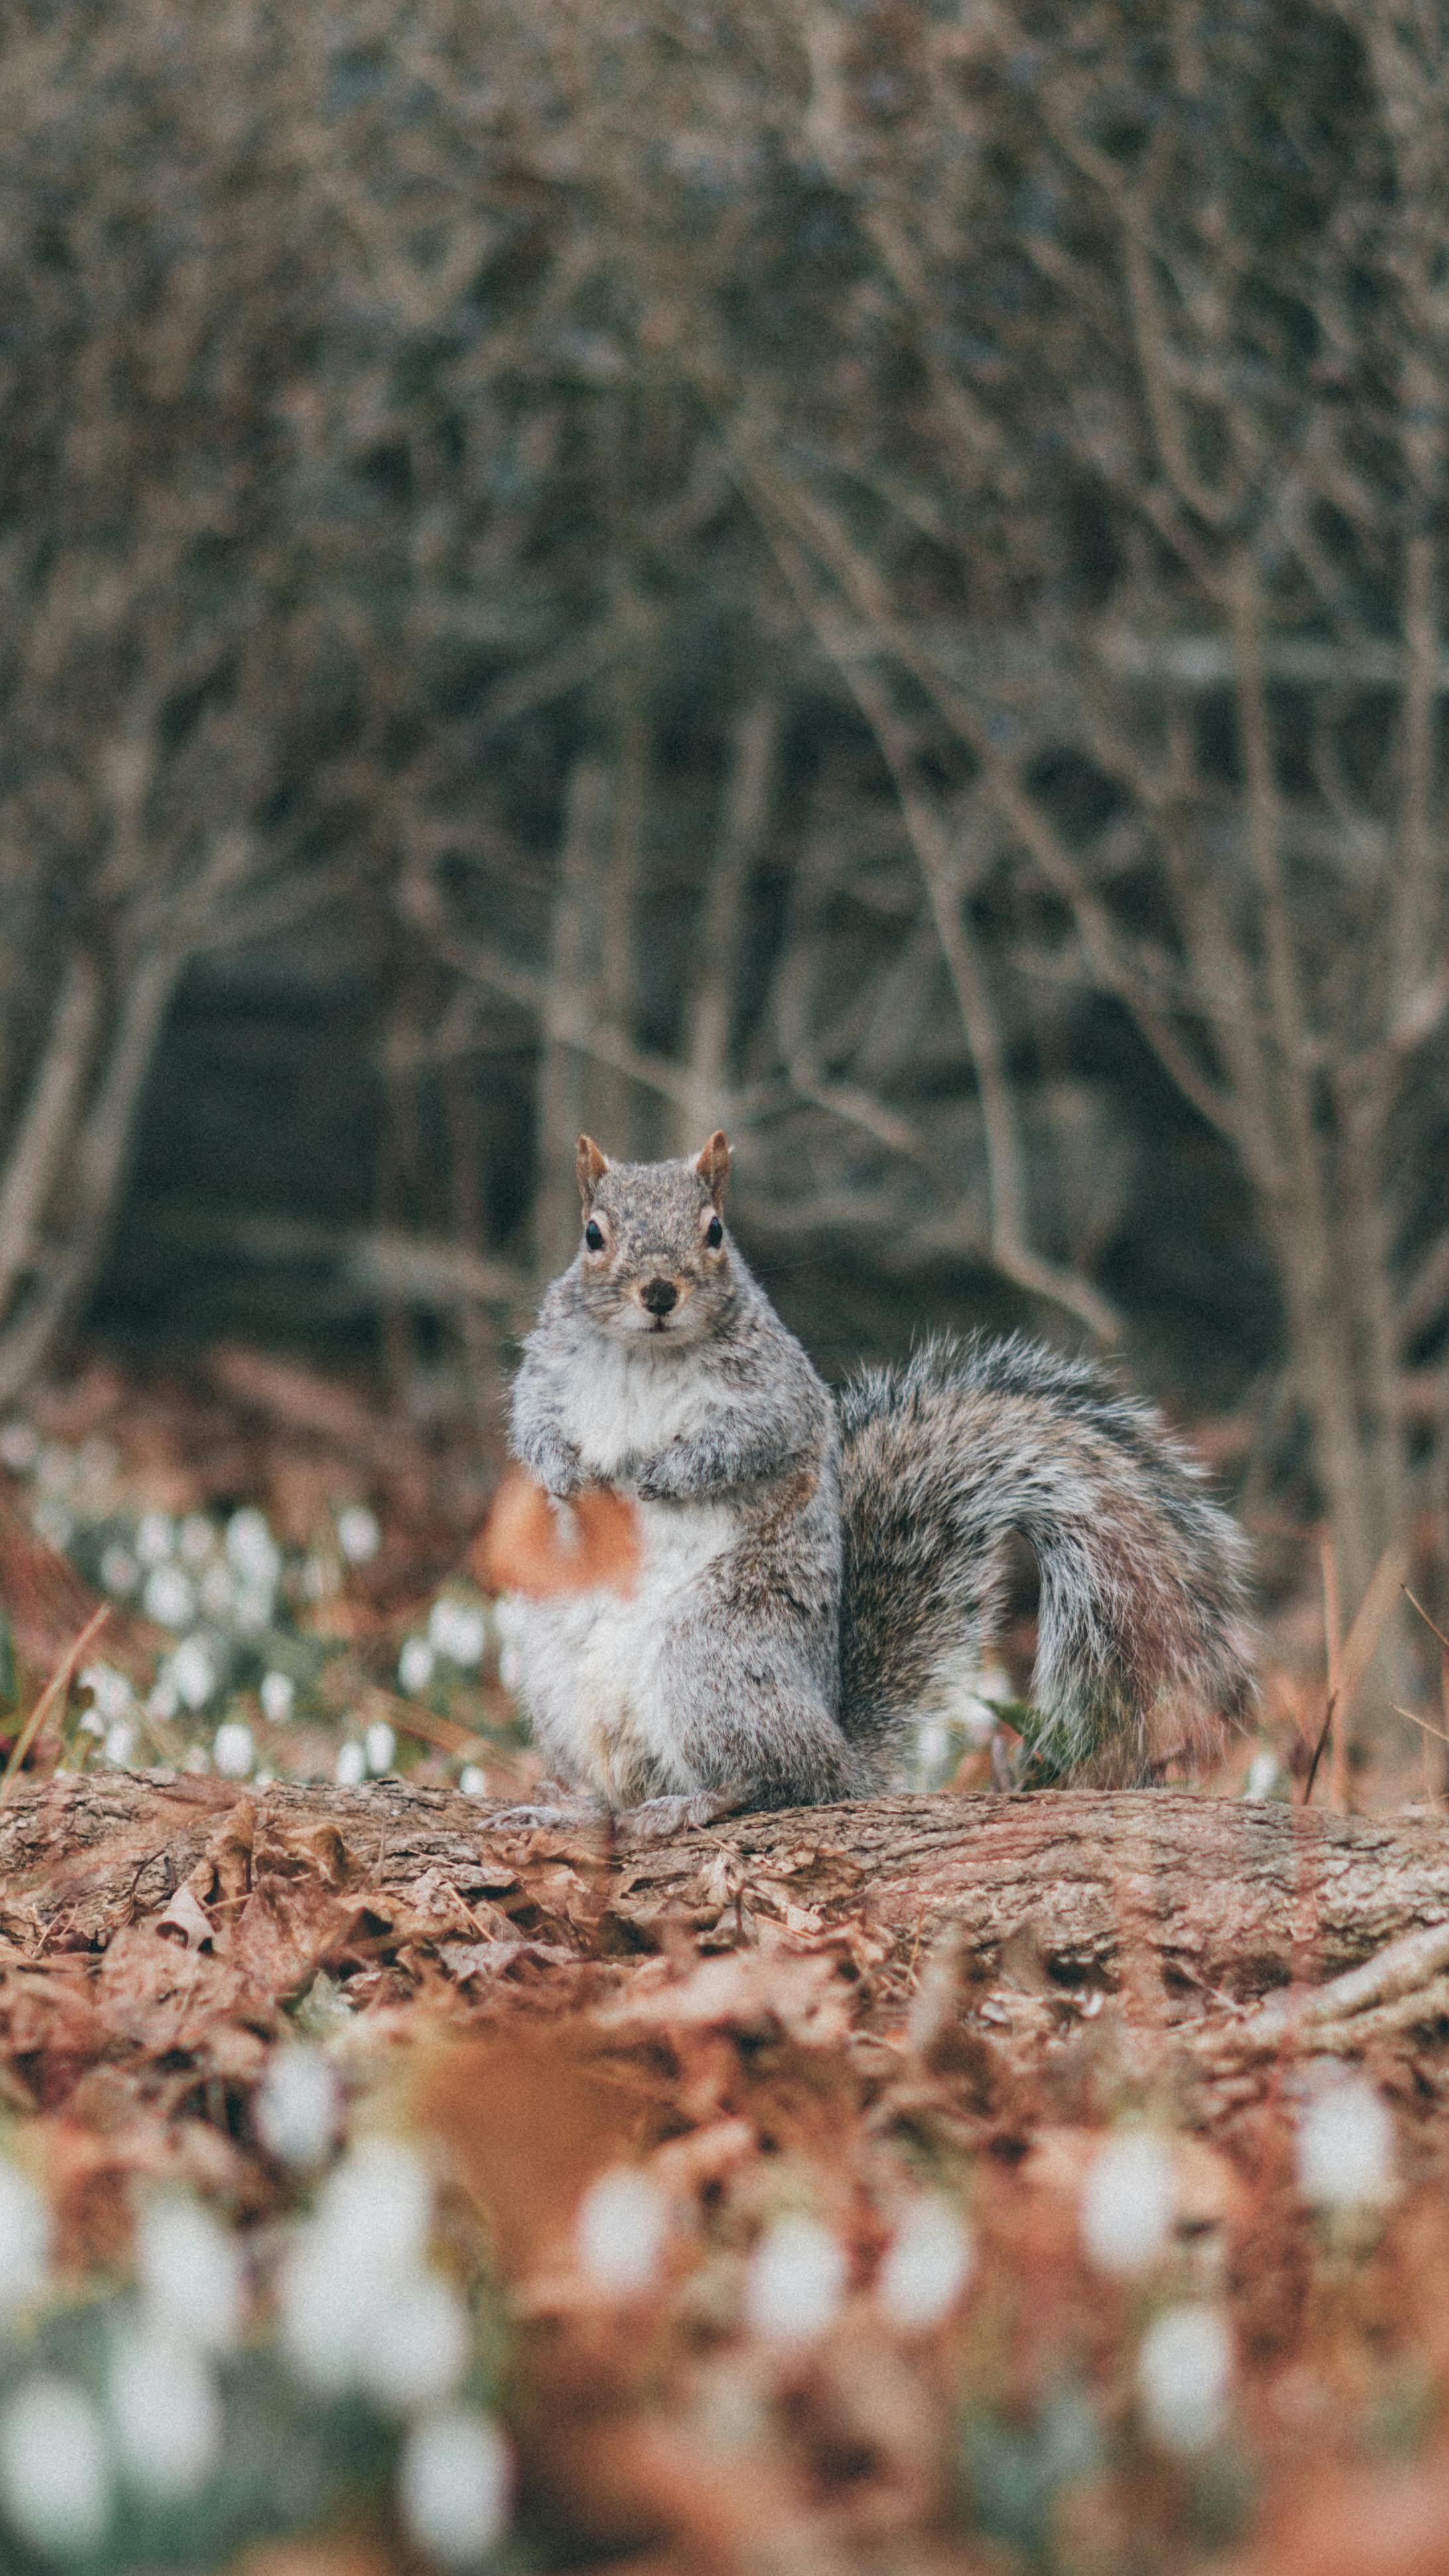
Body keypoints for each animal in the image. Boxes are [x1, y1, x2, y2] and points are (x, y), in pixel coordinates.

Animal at [501, 1129, 1255, 1836]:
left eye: (714, 1230)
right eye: (593, 1234)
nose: (659, 1294)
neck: (647, 1353)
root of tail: (840, 1747)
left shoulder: (777, 1393)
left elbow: (747, 1441)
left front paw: (663, 1474)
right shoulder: (546, 1370)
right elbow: (531, 1425)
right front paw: (565, 1474)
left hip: (715, 1659)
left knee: (780, 1782)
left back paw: (698, 1801)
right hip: (558, 1686)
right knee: (621, 1795)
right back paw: (571, 1810)